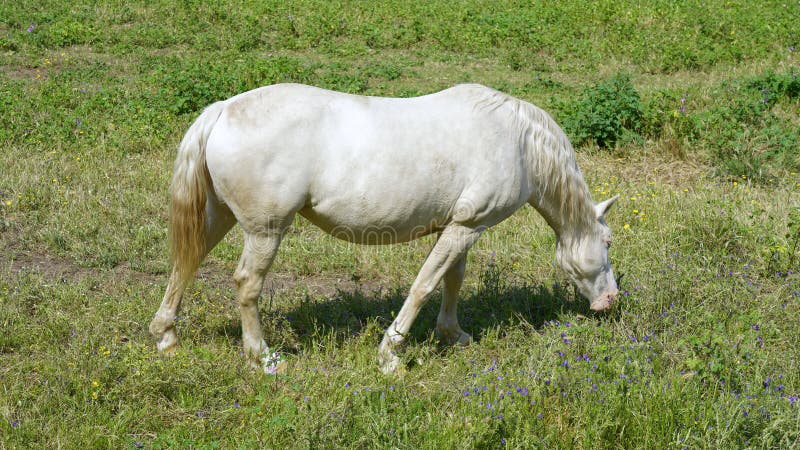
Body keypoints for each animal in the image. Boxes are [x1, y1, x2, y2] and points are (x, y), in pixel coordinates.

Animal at [148, 83, 619, 374]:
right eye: (609, 241)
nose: (611, 300)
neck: (517, 140)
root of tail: (221, 111)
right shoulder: (467, 225)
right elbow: (425, 285)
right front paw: (391, 356)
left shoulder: (462, 226)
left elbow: (452, 279)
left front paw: (453, 335)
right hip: (265, 230)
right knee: (247, 284)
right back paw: (262, 359)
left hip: (218, 216)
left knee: (186, 264)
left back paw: (166, 336)